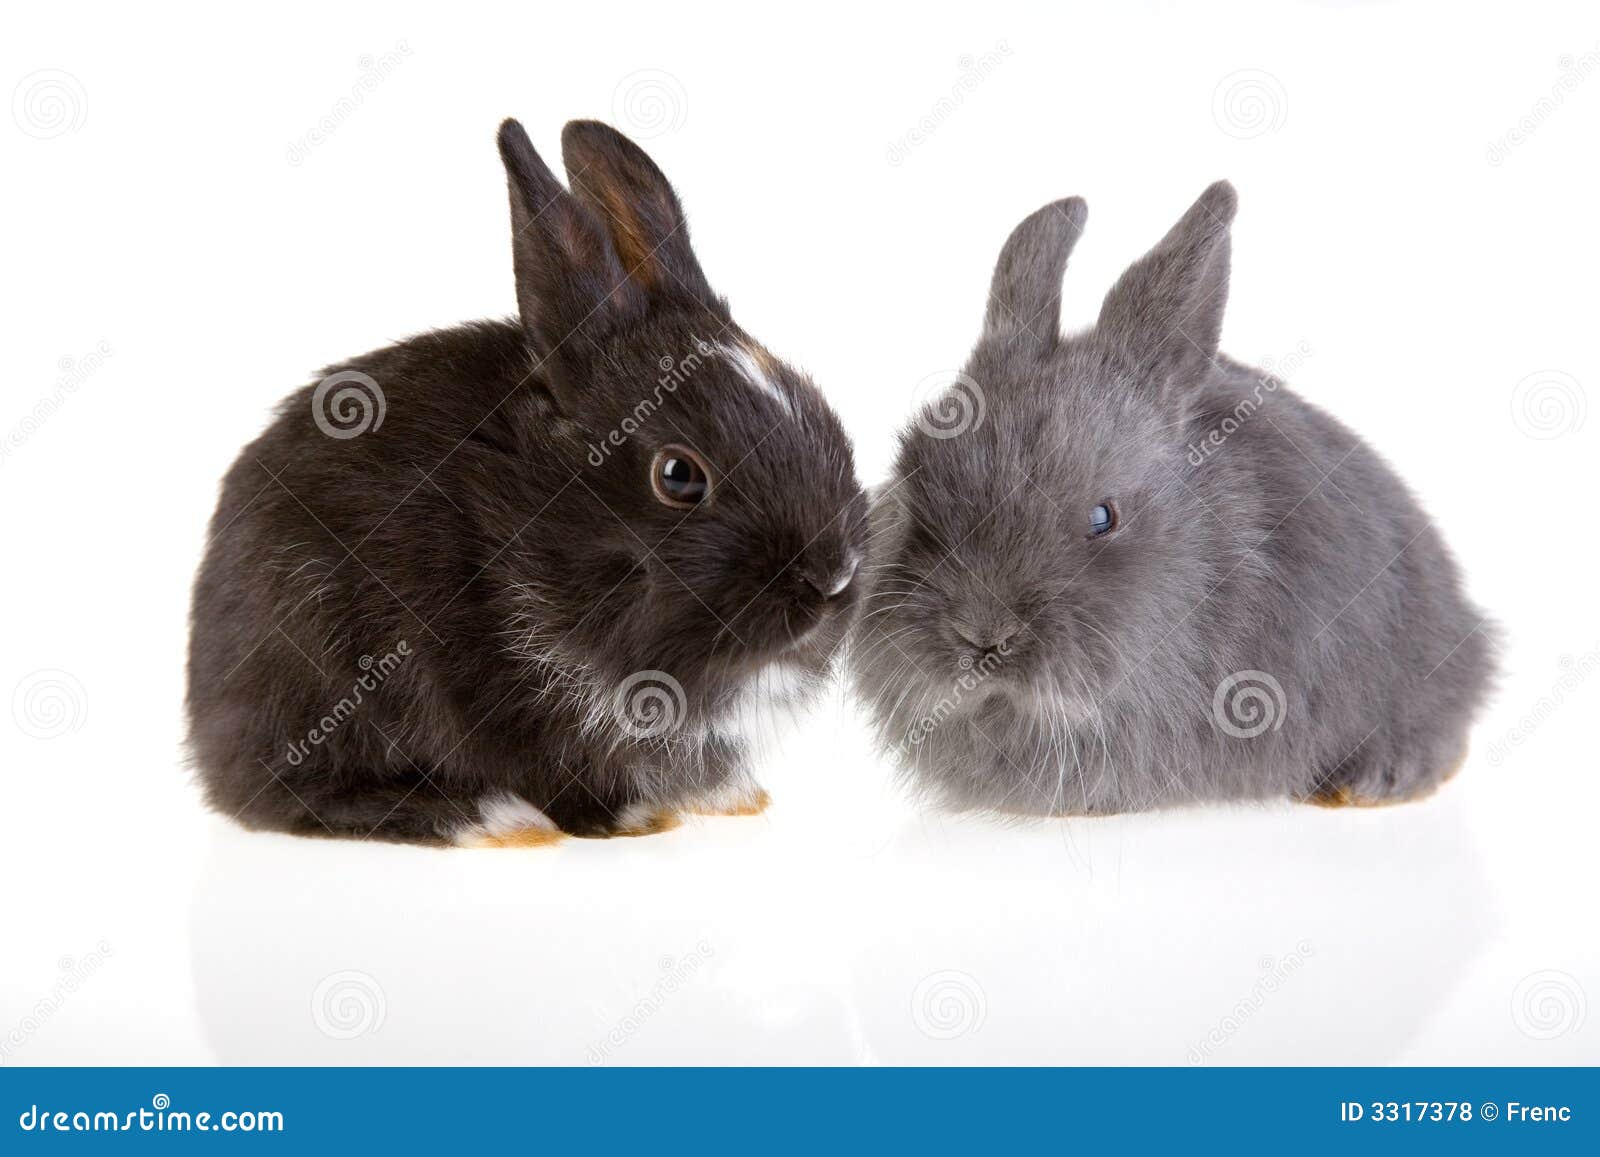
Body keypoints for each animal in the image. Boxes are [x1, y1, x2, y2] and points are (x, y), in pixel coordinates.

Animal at [187, 118, 867, 846]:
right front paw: (634, 816)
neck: (527, 522)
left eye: (816, 408)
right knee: (297, 792)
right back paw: (489, 817)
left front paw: (734, 795)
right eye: (678, 475)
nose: (832, 578)